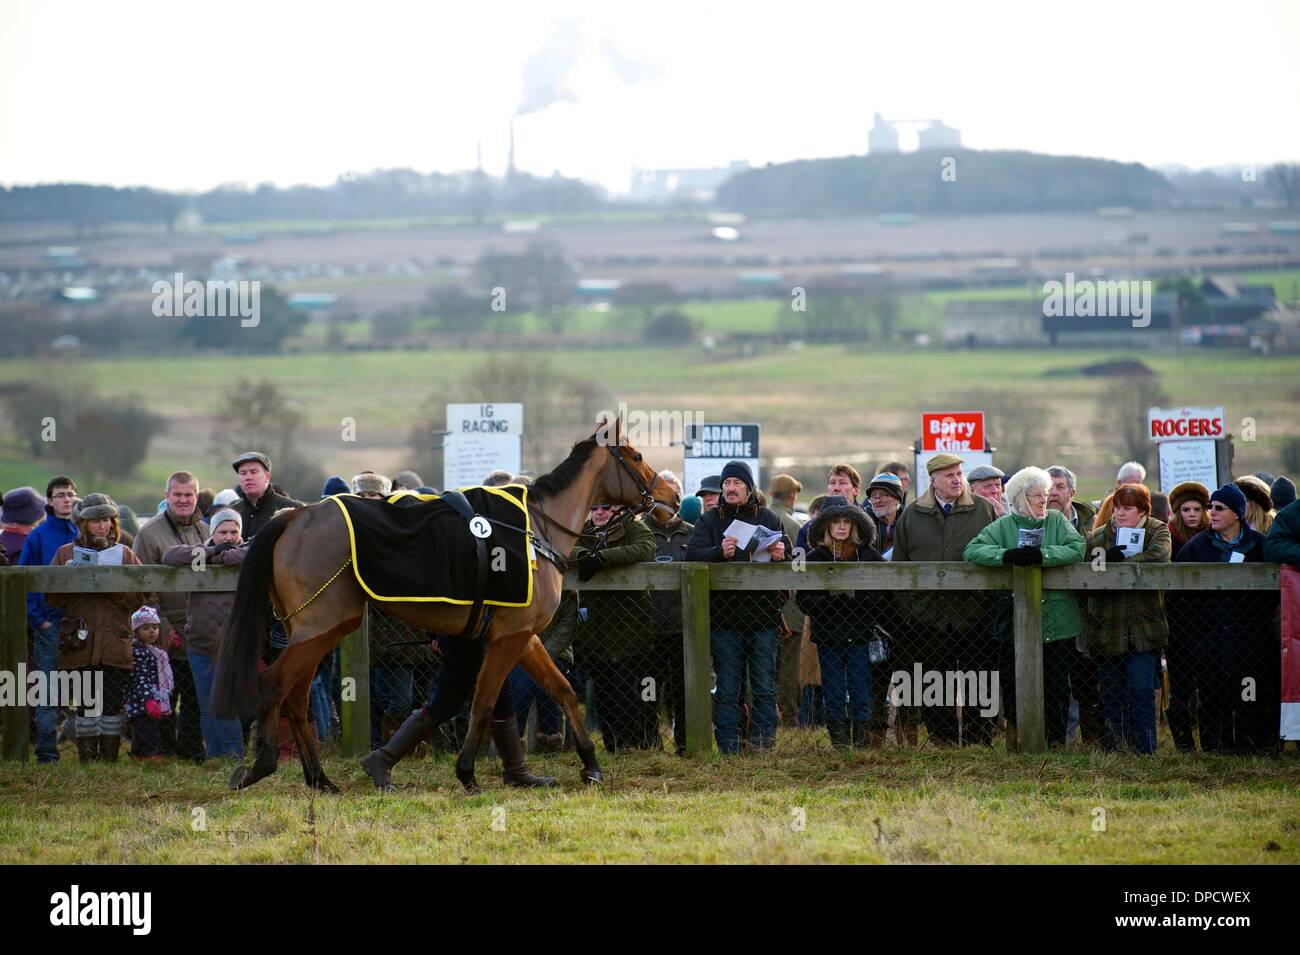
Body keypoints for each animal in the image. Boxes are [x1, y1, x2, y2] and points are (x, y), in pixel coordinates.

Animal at [209, 428, 679, 793]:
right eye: (636, 456)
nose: (671, 496)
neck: (535, 530)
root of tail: (295, 515)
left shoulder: (521, 635)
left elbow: (560, 690)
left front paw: (589, 766)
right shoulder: (510, 636)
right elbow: (483, 703)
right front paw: (467, 772)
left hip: (312, 630)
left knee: (297, 696)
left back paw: (321, 779)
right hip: (321, 626)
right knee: (274, 684)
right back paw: (263, 766)